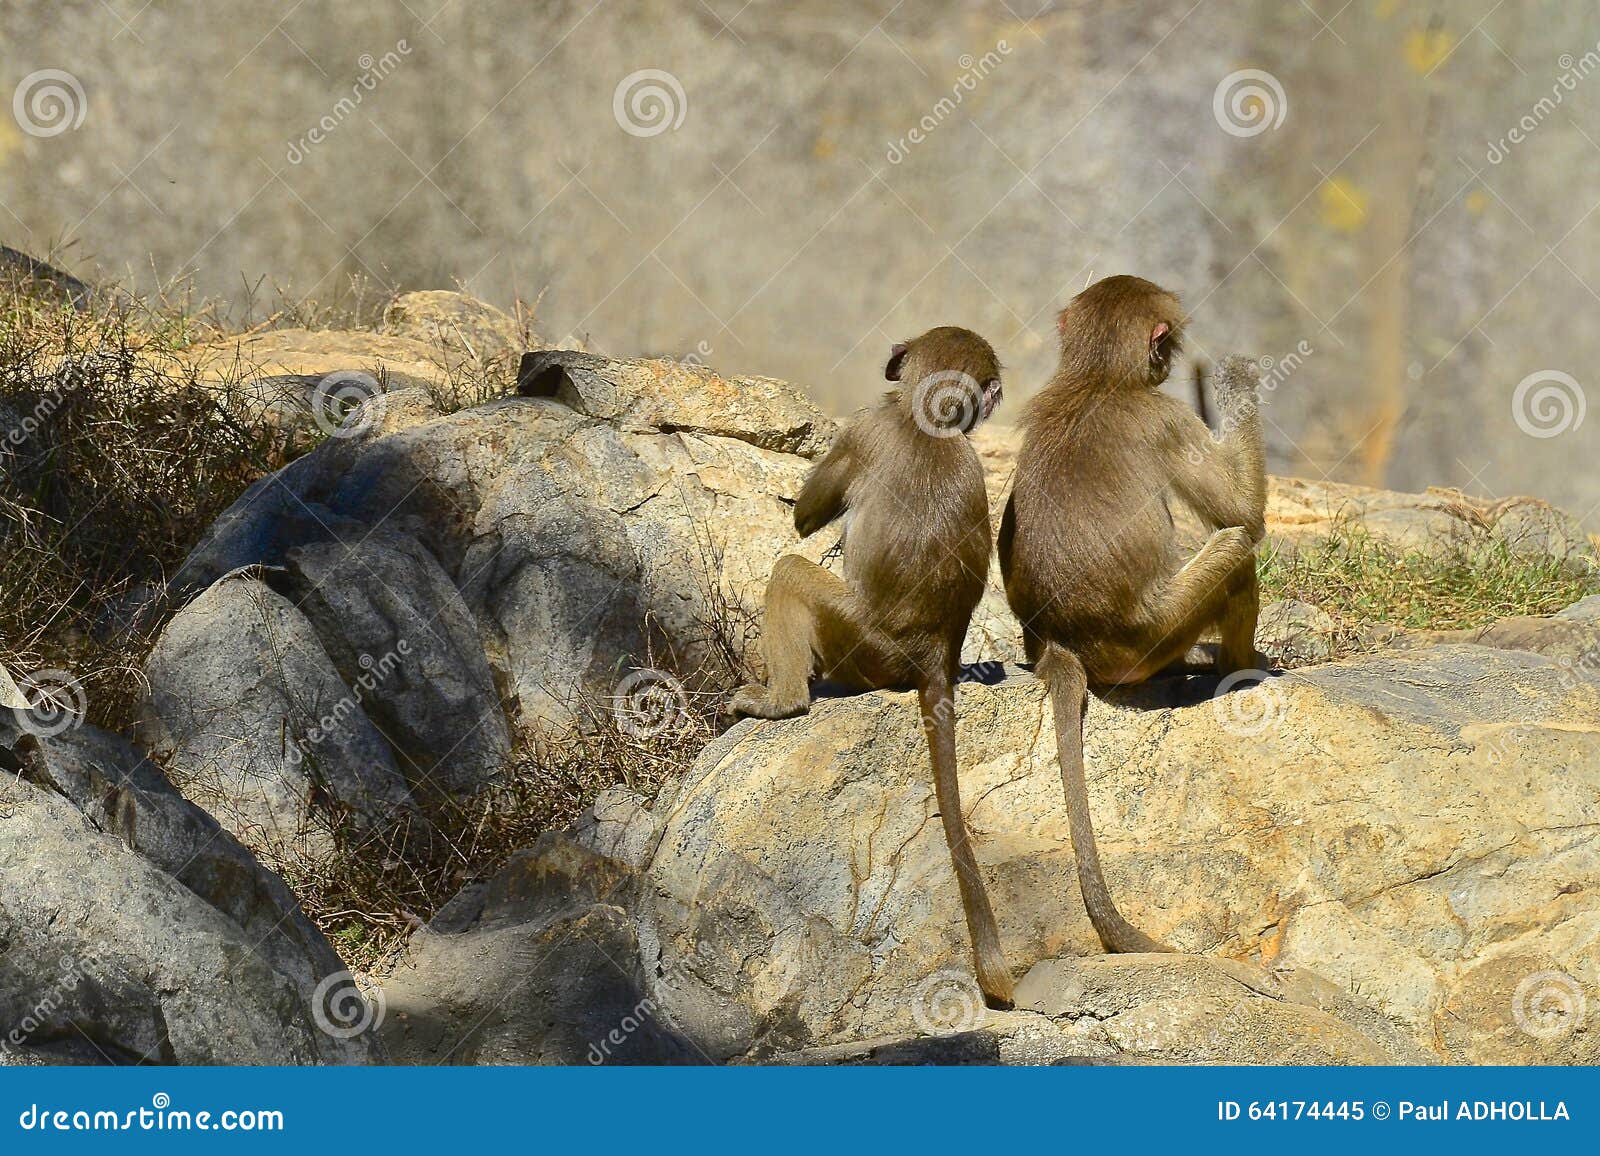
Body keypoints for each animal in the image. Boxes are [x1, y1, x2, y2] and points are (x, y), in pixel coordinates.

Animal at [729, 327, 1015, 1007]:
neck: (924, 423)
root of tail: (929, 655)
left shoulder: (865, 425)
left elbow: (804, 520)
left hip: (855, 642)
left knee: (791, 573)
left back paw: (781, 700)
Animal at [997, 274, 1267, 954]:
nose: (1169, 361)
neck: (1099, 376)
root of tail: (1064, 643)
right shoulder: (1165, 417)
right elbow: (1245, 520)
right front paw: (1235, 381)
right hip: (1153, 636)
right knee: (1234, 550)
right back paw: (1239, 665)